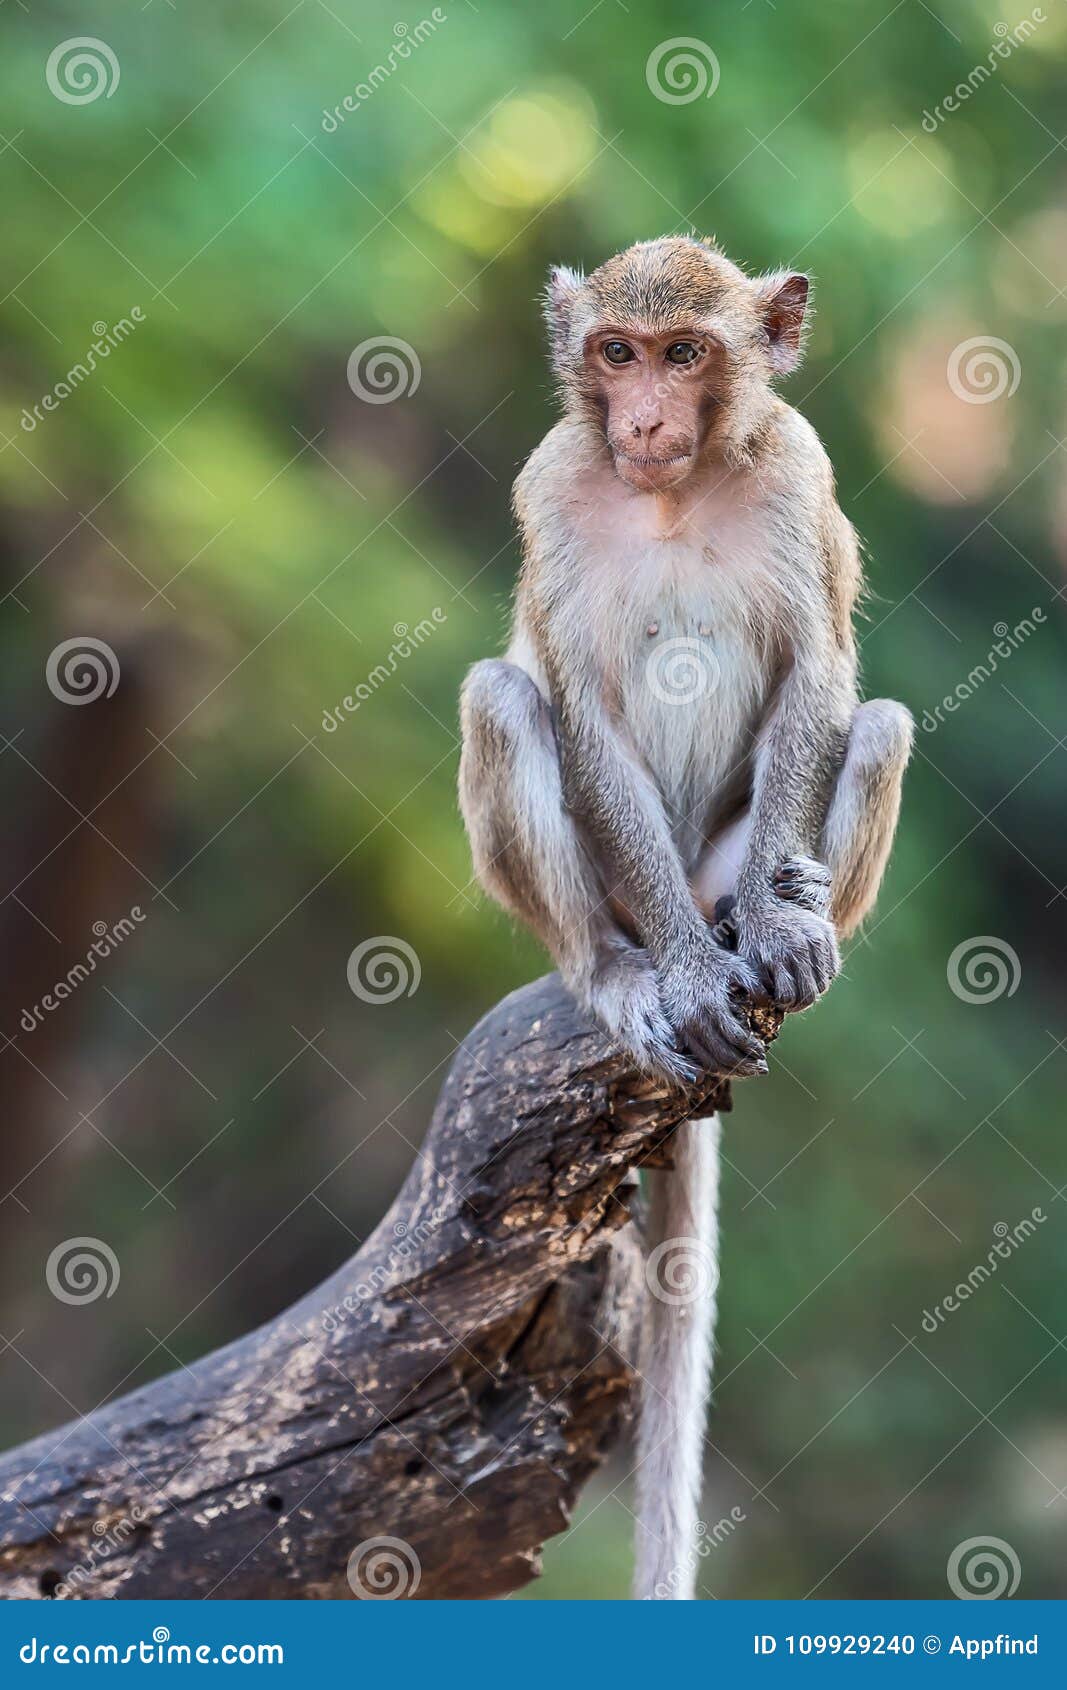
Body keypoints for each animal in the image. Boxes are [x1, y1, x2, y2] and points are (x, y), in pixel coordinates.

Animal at [458, 236, 912, 1601]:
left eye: (682, 352)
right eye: (615, 352)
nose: (645, 419)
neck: (670, 490)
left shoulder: (800, 469)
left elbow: (818, 672)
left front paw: (778, 934)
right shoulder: (550, 483)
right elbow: (579, 708)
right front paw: (680, 979)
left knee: (876, 722)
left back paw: (770, 922)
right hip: (596, 893)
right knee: (502, 696)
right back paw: (628, 970)